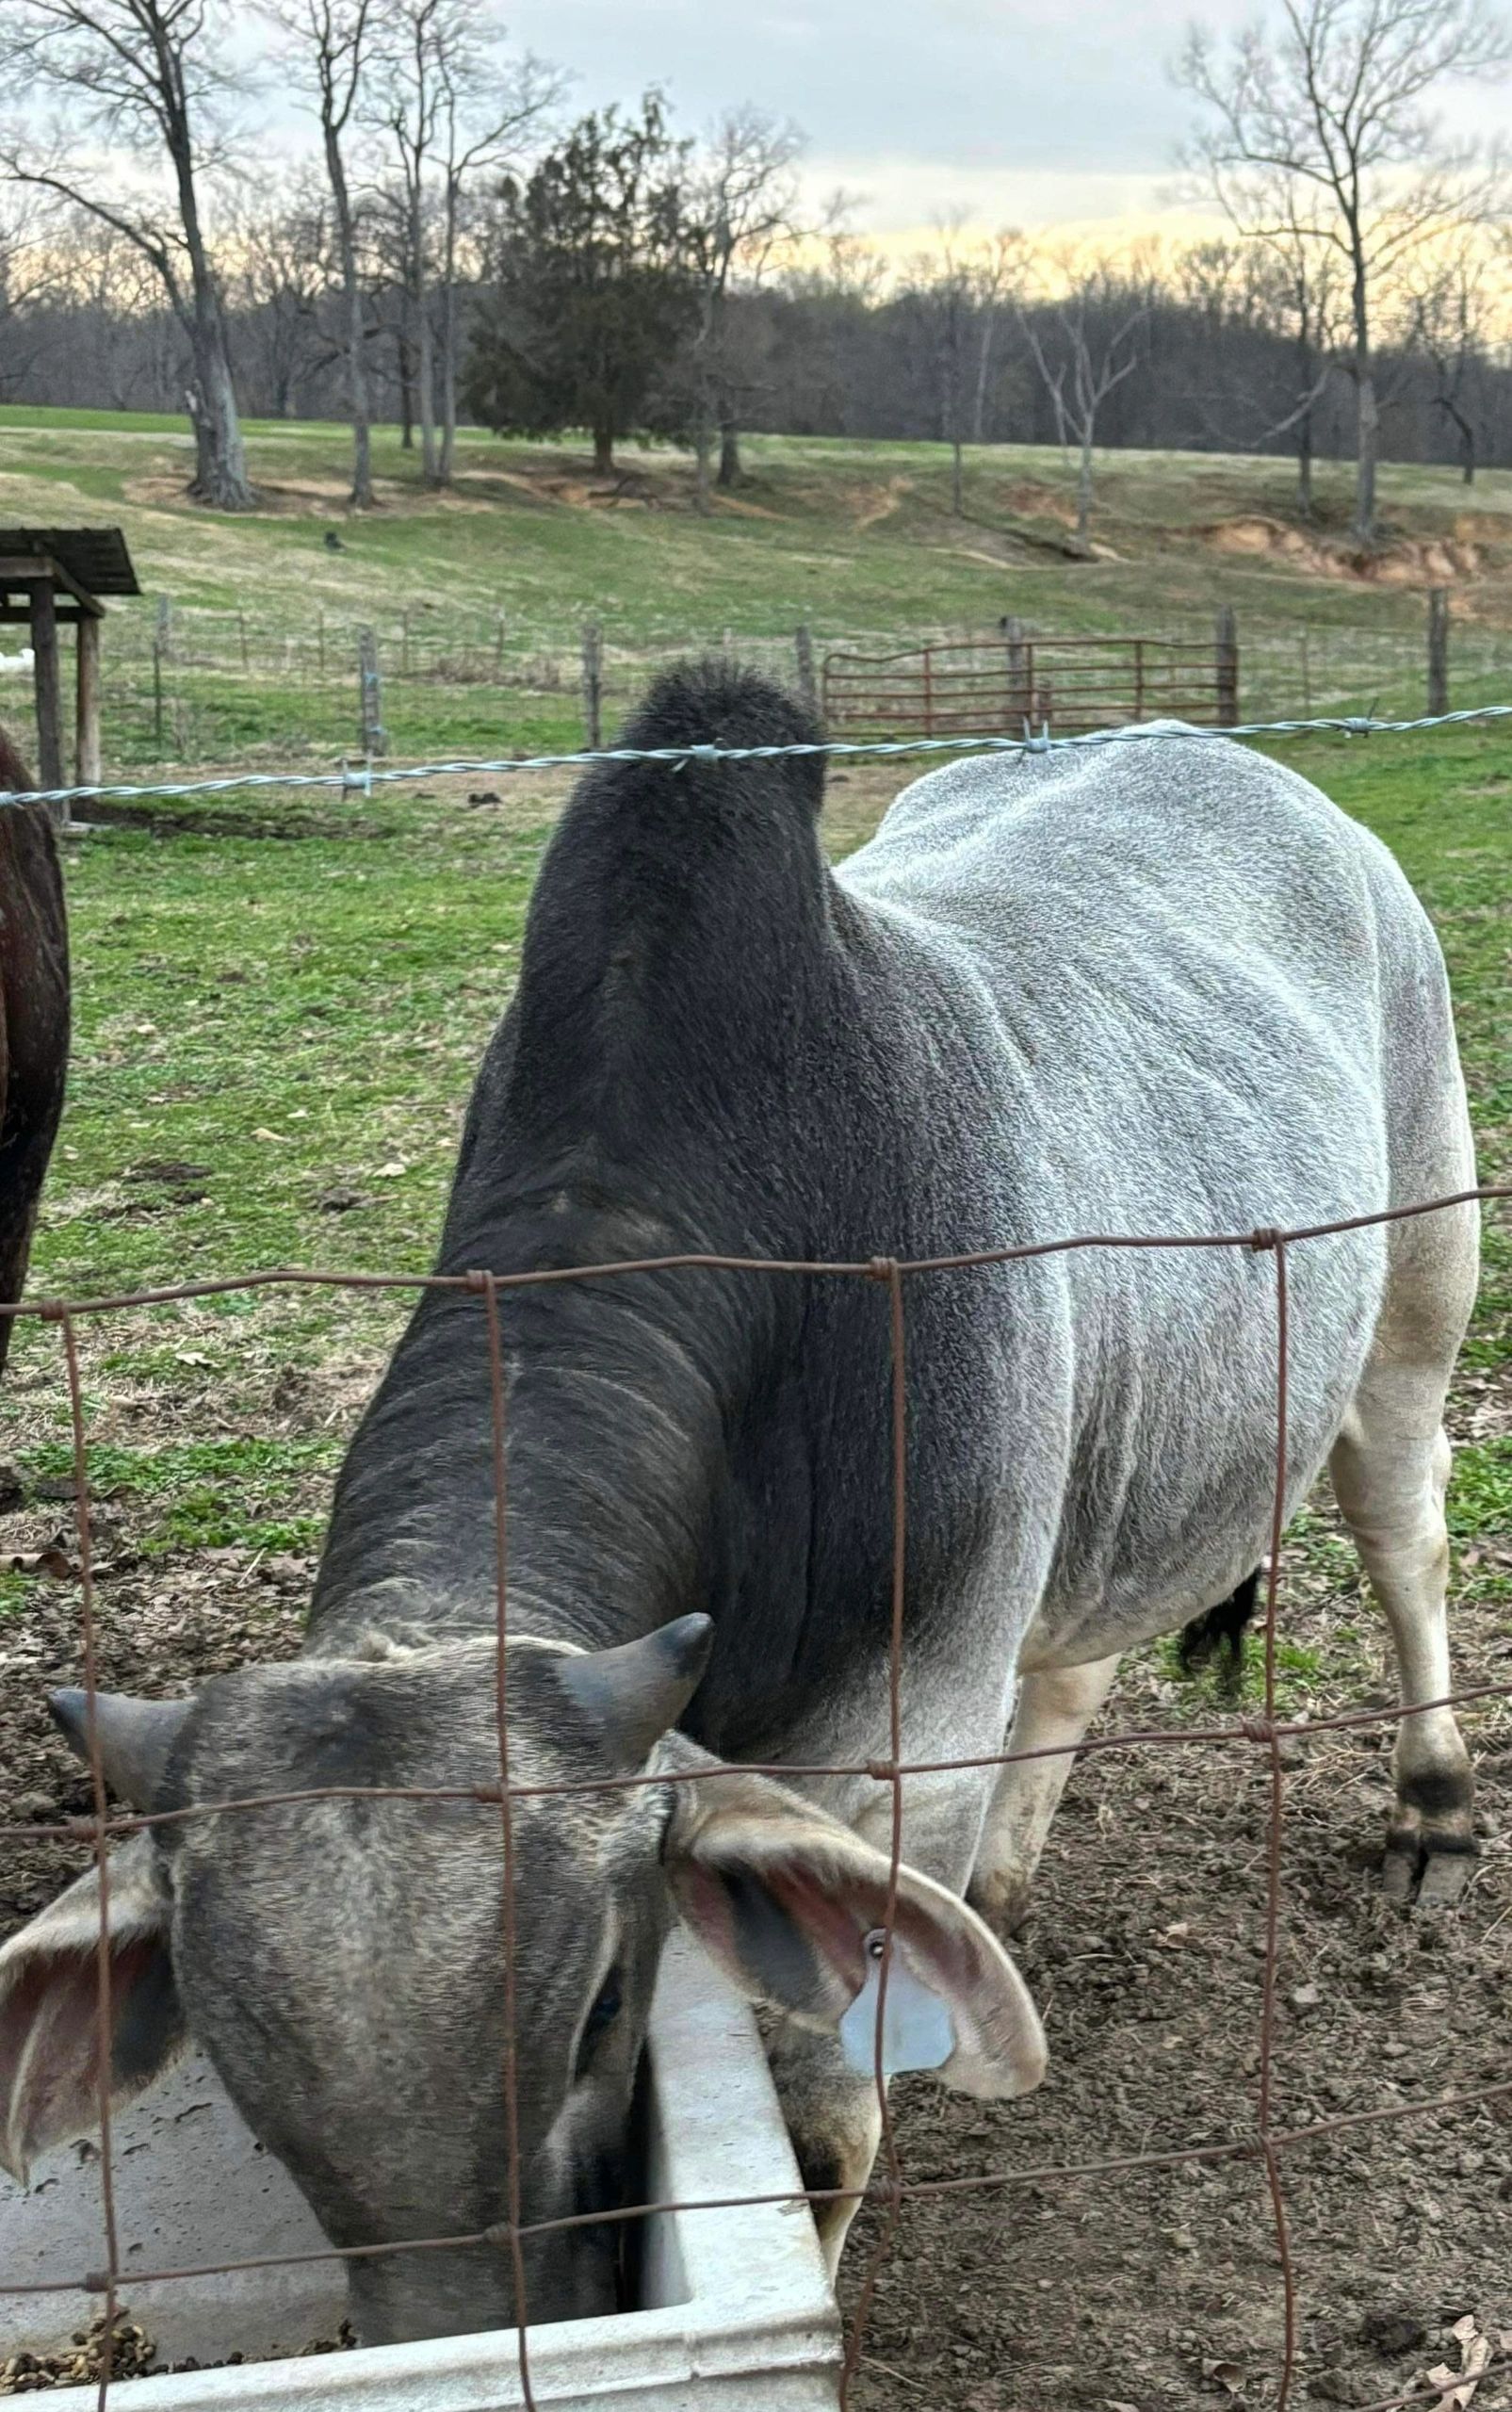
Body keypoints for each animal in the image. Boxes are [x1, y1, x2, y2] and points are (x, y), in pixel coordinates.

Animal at [0, 664, 1478, 2348]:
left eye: (598, 2012)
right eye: (245, 2083)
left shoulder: (897, 1734)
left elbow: (825, 2120)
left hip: (1415, 1304)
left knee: (1406, 1536)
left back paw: (1433, 1805)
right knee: (1081, 1656)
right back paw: (1010, 1878)